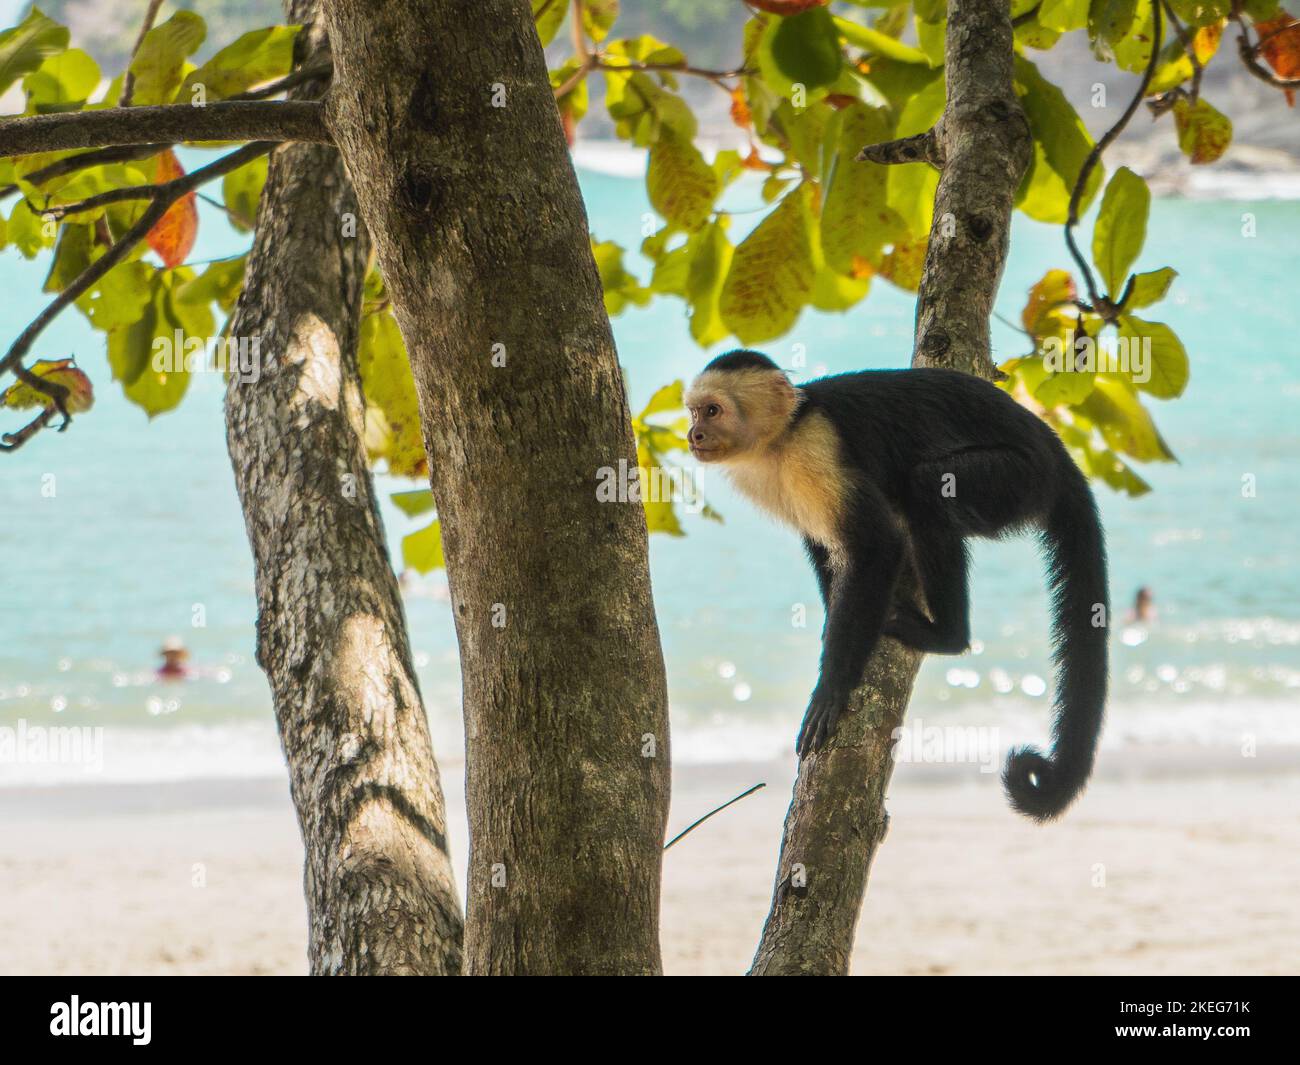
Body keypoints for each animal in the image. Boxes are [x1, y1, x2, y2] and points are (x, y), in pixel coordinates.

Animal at [684, 349, 1108, 822]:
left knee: (928, 489)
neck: (782, 436)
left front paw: (832, 683)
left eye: (713, 411)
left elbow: (876, 546)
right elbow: (823, 545)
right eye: (694, 411)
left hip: (1017, 477)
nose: (692, 434)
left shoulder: (815, 449)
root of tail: (1053, 447)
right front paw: (833, 623)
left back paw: (947, 635)